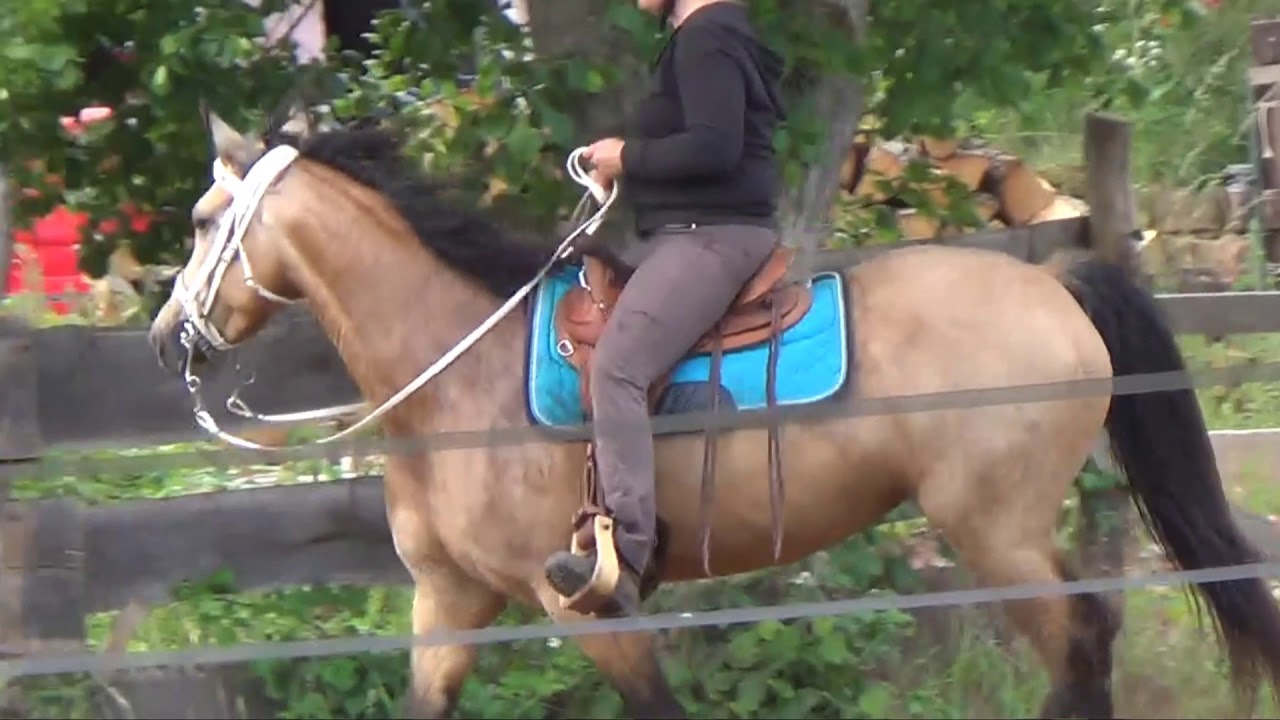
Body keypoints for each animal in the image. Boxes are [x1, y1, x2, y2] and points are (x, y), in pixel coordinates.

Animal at [147, 106, 1280, 719]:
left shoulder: (583, 602)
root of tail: (1054, 282)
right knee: (1090, 637)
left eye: (204, 221)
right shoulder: (449, 601)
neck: (454, 371)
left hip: (994, 532)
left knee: (1080, 641)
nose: (165, 340)